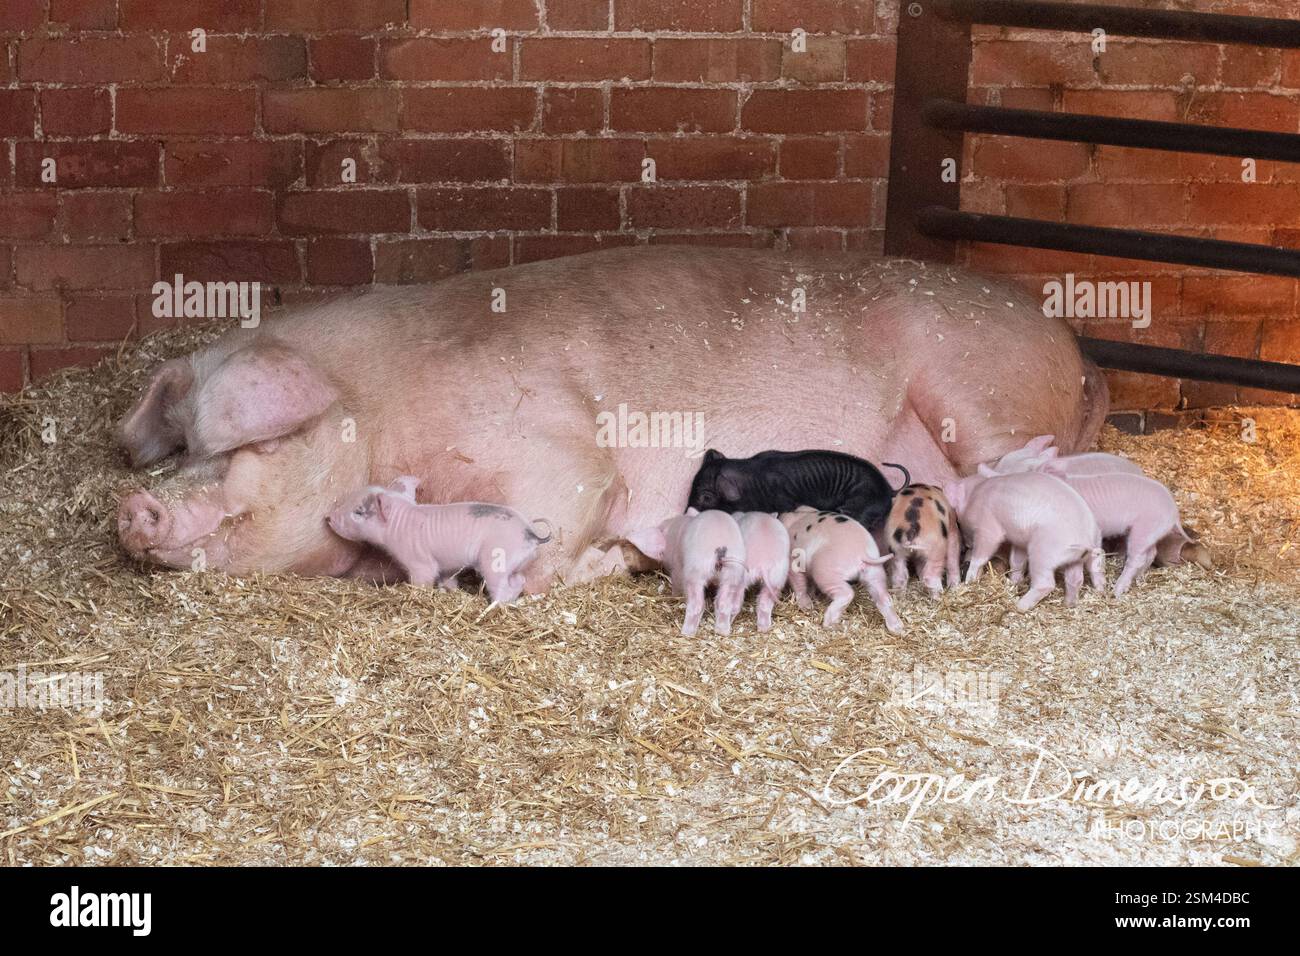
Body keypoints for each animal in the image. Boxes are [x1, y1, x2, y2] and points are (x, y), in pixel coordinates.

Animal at [326, 478, 551, 605]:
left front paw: (417, 594)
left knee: (504, 588)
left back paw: (490, 607)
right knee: (520, 581)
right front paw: (447, 591)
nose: (329, 517)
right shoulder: (447, 564)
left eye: (358, 512)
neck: (398, 526)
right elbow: (448, 579)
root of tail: (532, 534)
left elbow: (423, 578)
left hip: (496, 562)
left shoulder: (419, 561)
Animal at [944, 467, 1105, 612]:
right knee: (1080, 576)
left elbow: (982, 554)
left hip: (1042, 552)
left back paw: (1019, 606)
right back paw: (1073, 602)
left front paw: (970, 579)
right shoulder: (1019, 541)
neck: (975, 494)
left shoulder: (988, 527)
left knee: (1046, 583)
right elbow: (1016, 561)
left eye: (958, 521)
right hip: (1084, 554)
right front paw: (1012, 583)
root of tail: (1086, 538)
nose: (967, 545)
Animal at [1038, 466, 1198, 596]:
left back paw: (1117, 591)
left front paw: (1100, 589)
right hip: (1151, 532)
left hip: (1144, 529)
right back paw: (1138, 578)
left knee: (1137, 558)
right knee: (1151, 553)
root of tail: (1175, 512)